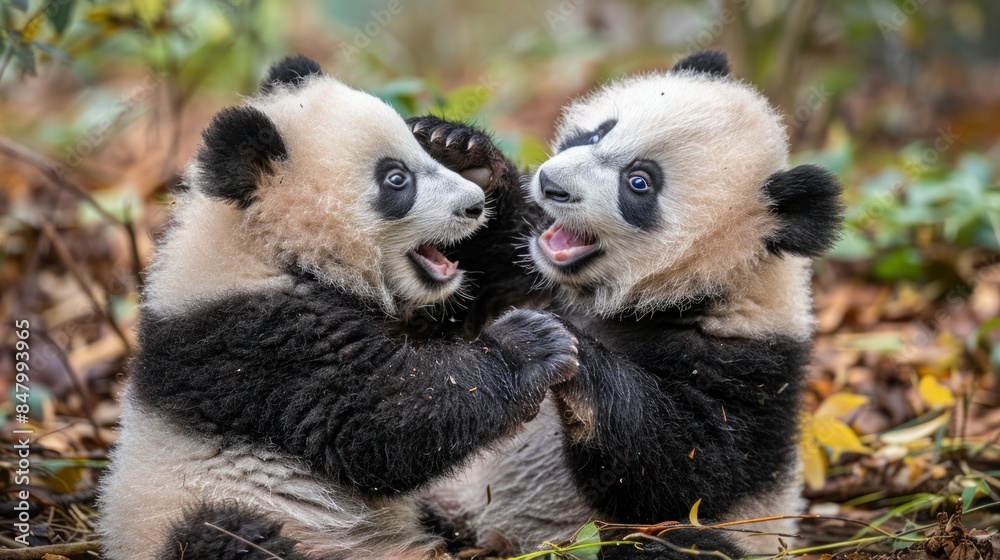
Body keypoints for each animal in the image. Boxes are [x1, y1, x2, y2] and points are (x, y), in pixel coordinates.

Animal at [96, 56, 581, 560]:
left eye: (418, 156)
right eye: (396, 179)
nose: (472, 206)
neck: (260, 246)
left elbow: (499, 280)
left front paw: (462, 149)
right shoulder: (254, 339)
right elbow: (377, 420)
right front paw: (530, 344)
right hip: (199, 507)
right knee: (228, 534)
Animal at [410, 50, 844, 558]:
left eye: (638, 183)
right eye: (599, 132)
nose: (551, 184)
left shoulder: (751, 363)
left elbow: (683, 466)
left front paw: (566, 348)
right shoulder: (523, 275)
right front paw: (462, 153)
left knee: (677, 542)